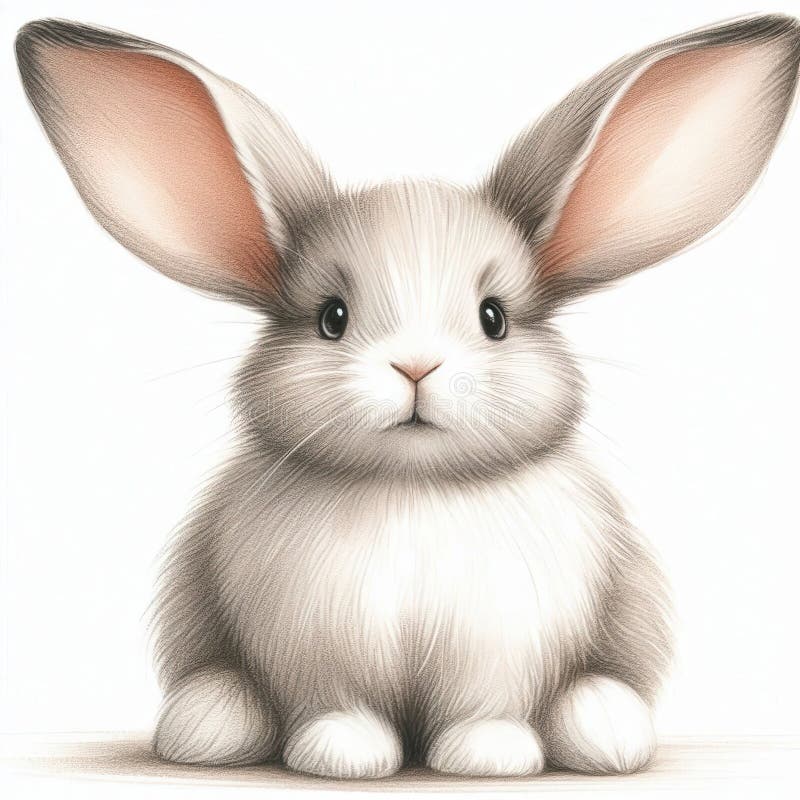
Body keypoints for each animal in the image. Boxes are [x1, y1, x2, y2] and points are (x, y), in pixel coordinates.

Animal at [15, 14, 800, 779]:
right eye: (332, 317)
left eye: (494, 317)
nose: (415, 365)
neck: (413, 489)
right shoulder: (317, 649)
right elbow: (339, 704)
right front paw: (342, 755)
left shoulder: (502, 649)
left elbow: (487, 707)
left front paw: (489, 758)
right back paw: (208, 722)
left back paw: (604, 727)